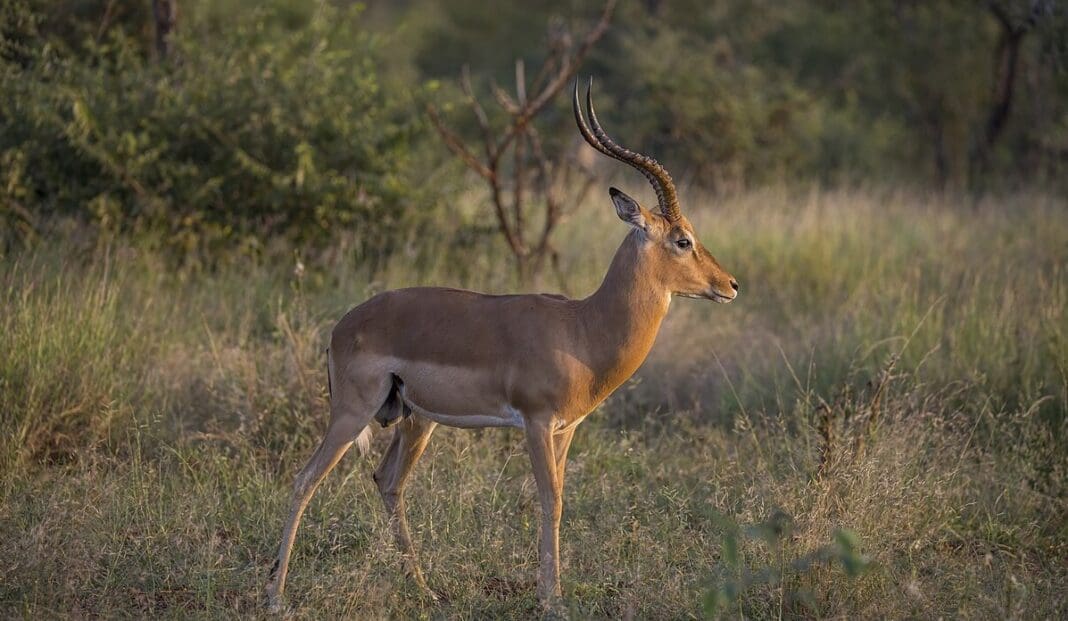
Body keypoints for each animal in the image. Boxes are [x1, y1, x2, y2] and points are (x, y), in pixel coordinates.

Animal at [266, 79, 739, 611]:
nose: (730, 284)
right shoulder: (535, 423)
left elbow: (560, 499)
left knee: (387, 482)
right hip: (352, 413)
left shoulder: (565, 430)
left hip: (415, 419)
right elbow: (548, 501)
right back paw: (275, 596)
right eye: (683, 240)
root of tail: (341, 327)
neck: (583, 327)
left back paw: (426, 591)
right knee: (305, 480)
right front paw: (552, 600)